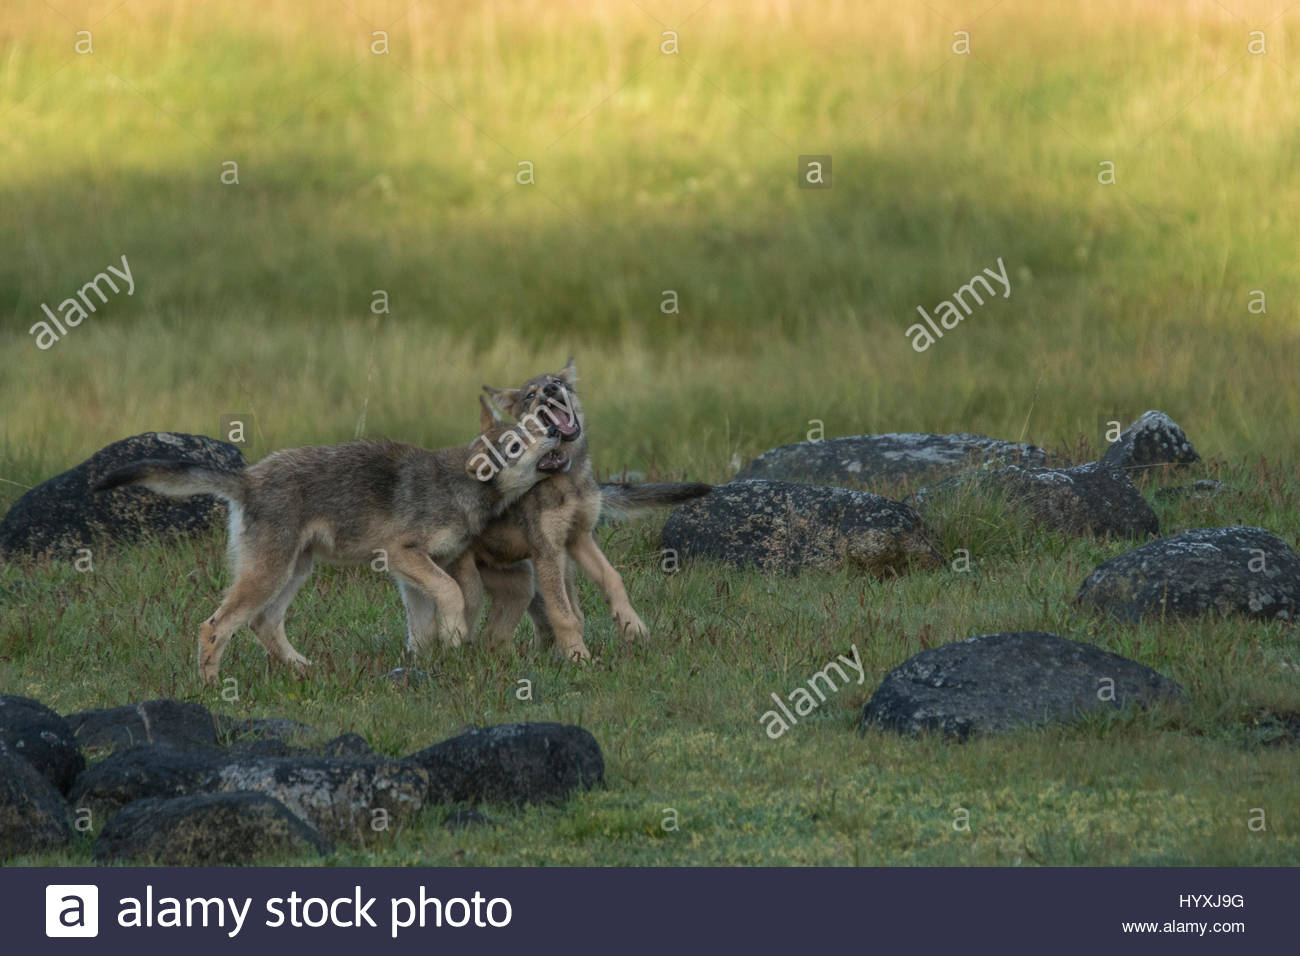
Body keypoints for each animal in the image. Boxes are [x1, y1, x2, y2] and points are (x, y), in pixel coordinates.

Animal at [92, 399, 569, 683]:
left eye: (528, 429)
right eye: (515, 444)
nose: (553, 427)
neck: (459, 486)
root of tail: (248, 477)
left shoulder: (411, 576)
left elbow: (423, 630)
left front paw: (428, 666)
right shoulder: (401, 556)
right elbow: (451, 596)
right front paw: (455, 638)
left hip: (295, 571)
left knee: (263, 624)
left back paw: (303, 670)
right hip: (270, 574)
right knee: (214, 626)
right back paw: (211, 688)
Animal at [465, 359, 711, 660]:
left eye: (558, 383)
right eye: (531, 395)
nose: (550, 389)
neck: (567, 478)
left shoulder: (578, 538)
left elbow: (612, 580)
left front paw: (634, 628)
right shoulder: (548, 552)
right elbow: (564, 615)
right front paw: (578, 657)